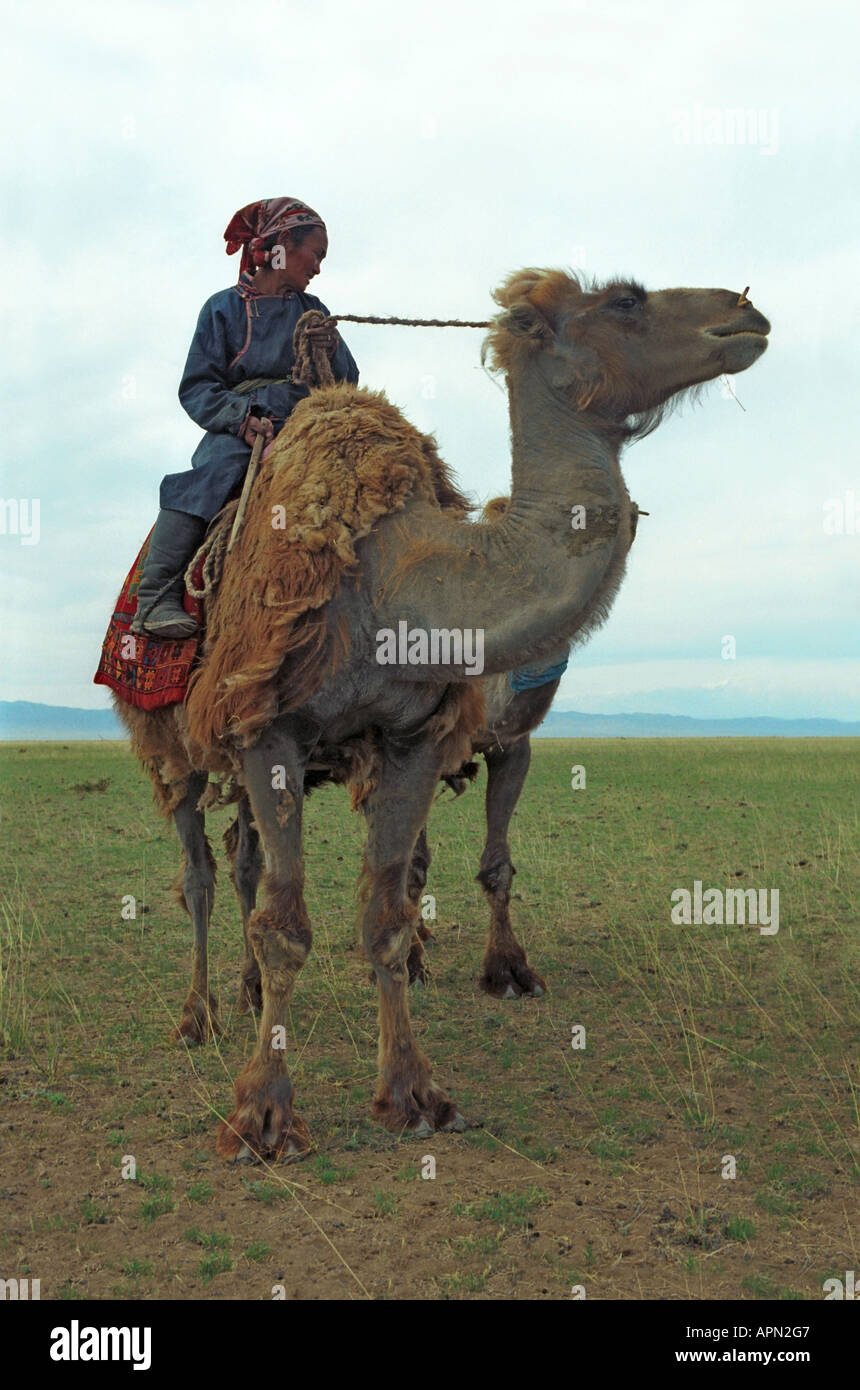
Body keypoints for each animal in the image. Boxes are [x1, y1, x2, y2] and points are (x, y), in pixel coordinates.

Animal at [114, 268, 770, 1160]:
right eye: (627, 300)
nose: (745, 310)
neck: (402, 581)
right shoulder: (268, 725)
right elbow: (287, 928)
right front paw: (263, 1116)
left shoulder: (414, 737)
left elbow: (389, 914)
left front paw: (413, 1093)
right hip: (173, 739)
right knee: (202, 874)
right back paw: (198, 1017)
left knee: (245, 861)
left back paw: (247, 998)